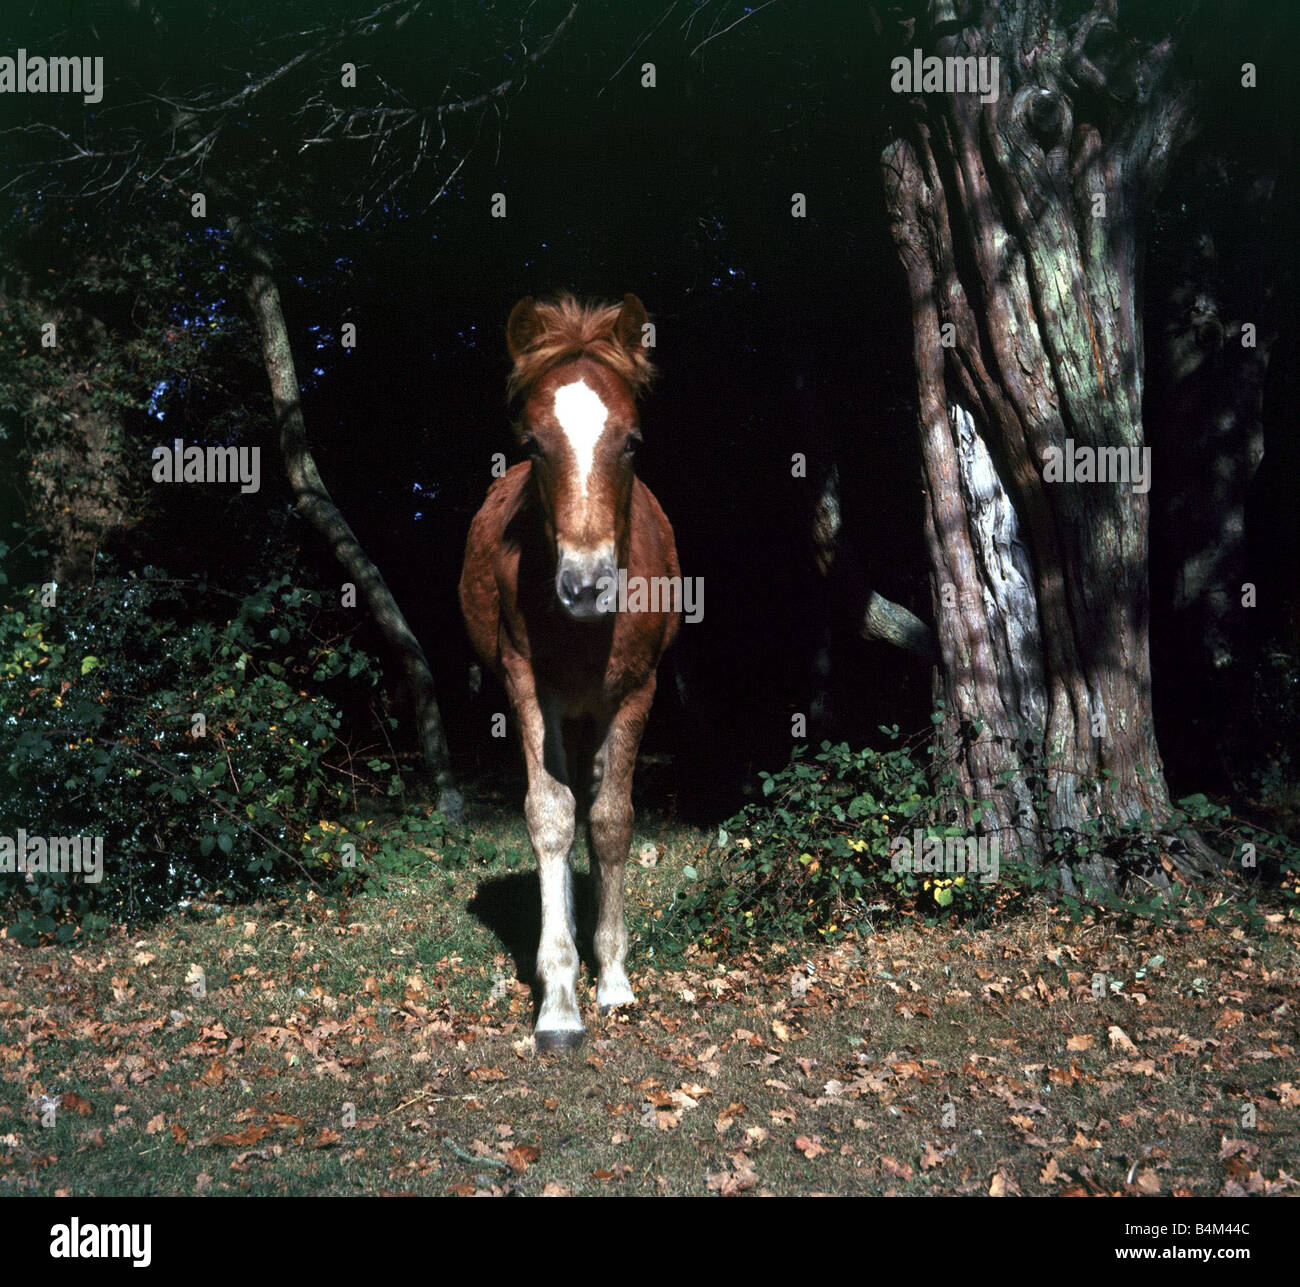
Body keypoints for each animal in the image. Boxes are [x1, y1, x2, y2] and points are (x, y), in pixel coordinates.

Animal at [459, 293, 681, 1051]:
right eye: (532, 444)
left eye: (633, 440)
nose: (585, 586)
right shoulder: (529, 685)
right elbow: (551, 814)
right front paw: (558, 999)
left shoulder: (636, 689)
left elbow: (611, 820)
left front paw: (612, 978)